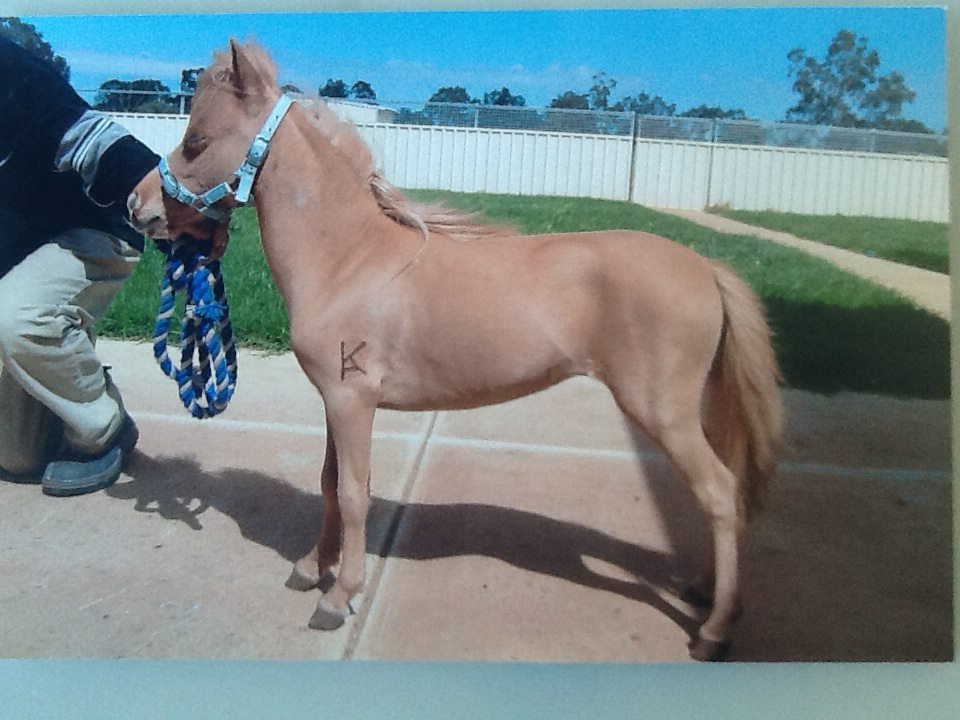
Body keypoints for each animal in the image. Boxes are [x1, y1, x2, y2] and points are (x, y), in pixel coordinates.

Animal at [130, 40, 783, 661]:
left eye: (196, 140)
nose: (139, 206)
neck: (348, 260)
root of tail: (706, 268)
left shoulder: (353, 402)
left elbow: (355, 493)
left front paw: (338, 597)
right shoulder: (334, 403)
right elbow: (328, 483)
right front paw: (311, 569)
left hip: (663, 414)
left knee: (719, 493)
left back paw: (715, 630)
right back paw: (704, 591)